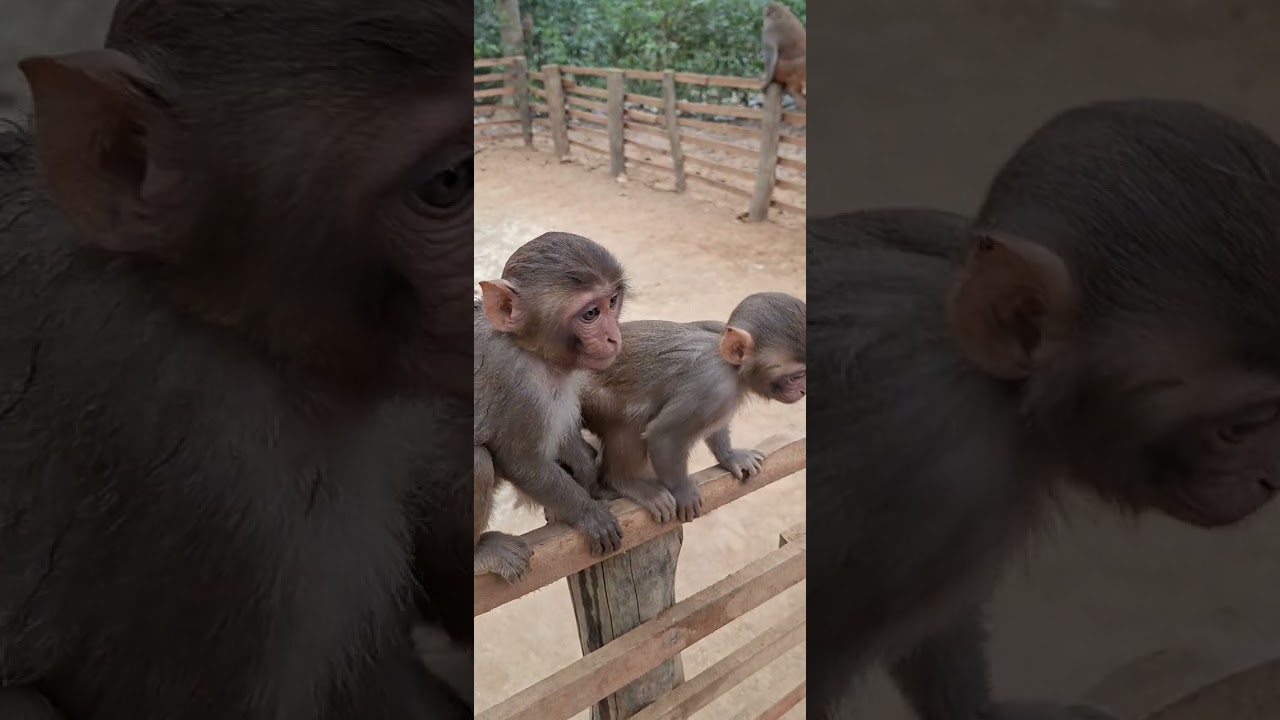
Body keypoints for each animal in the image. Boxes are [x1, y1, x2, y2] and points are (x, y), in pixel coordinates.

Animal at [473, 232, 628, 584]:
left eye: (612, 302)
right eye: (590, 314)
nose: (613, 337)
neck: (528, 349)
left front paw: (589, 475)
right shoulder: (518, 383)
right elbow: (522, 462)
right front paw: (587, 512)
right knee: (479, 463)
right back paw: (478, 554)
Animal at [579, 293, 807, 524]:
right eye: (796, 377)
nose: (803, 391)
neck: (730, 366)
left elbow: (716, 424)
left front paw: (730, 455)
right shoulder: (712, 387)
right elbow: (663, 435)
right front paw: (683, 491)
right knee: (629, 421)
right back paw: (626, 482)